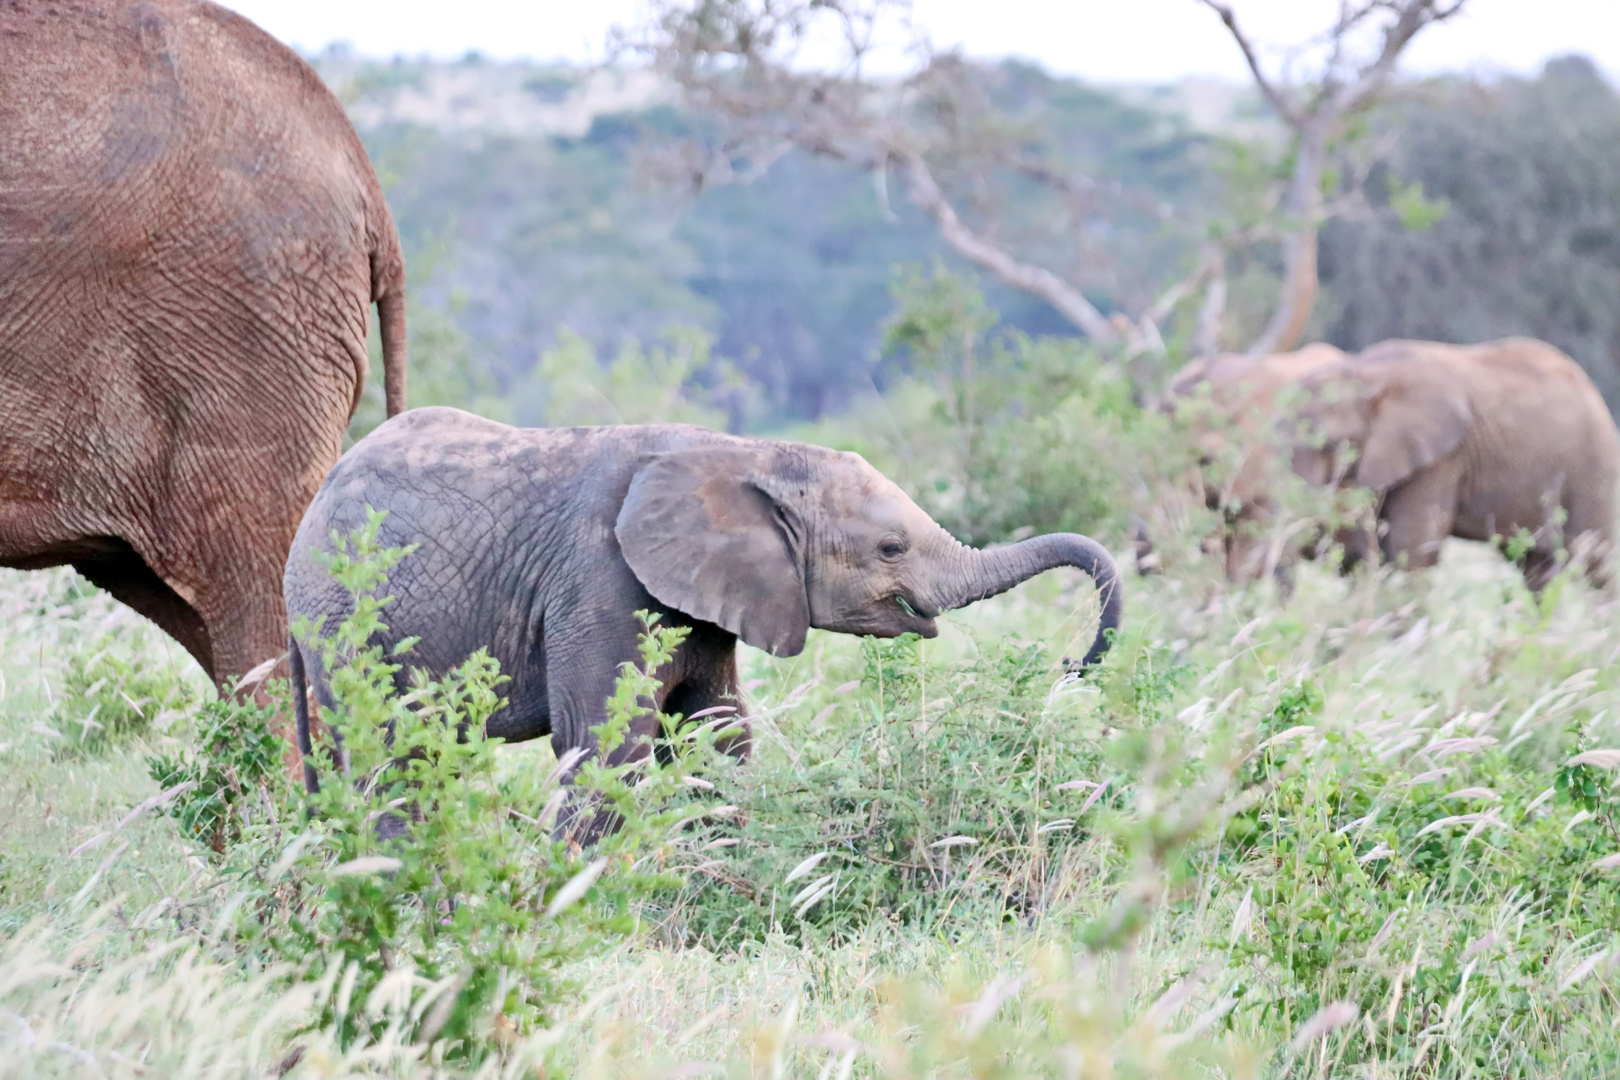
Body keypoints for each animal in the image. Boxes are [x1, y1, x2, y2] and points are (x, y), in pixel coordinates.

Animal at [285, 414, 1127, 803]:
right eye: (890, 548)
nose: (1071, 663)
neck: (744, 451)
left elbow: (716, 735)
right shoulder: (599, 580)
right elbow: (605, 744)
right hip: (344, 618)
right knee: (388, 756)